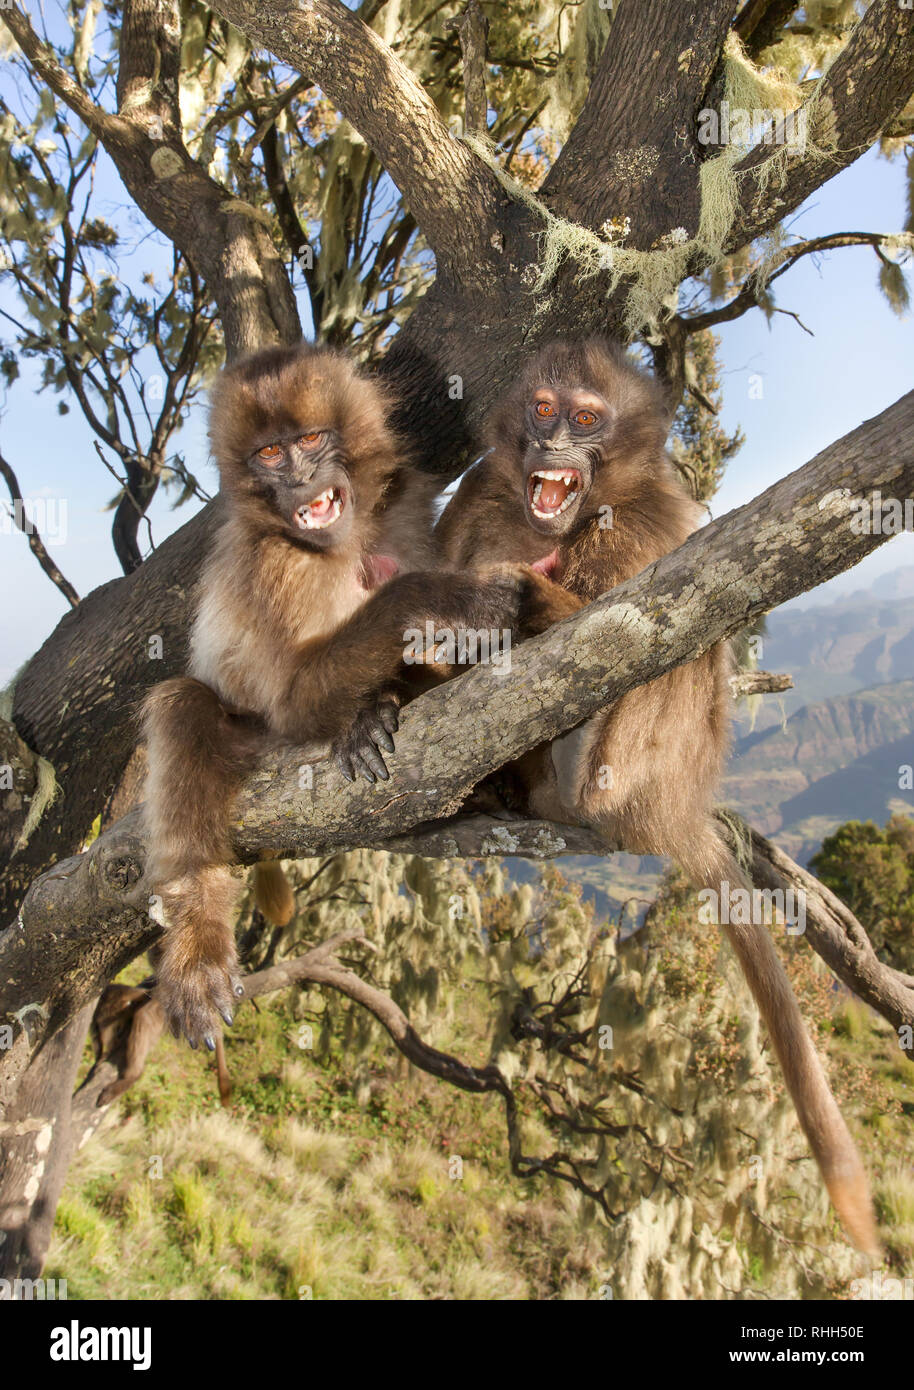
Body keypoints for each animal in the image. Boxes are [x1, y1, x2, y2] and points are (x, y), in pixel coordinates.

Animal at [142, 343, 536, 1055]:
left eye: (308, 440)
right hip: (257, 740)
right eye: (269, 454)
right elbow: (296, 696)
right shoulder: (279, 560)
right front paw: (452, 602)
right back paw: (197, 945)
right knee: (185, 706)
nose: (299, 475)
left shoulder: (404, 500)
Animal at [381, 337, 874, 1256]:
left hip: (648, 761)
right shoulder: (480, 488)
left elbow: (657, 614)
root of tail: (671, 807)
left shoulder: (653, 516)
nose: (551, 446)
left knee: (665, 645)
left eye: (586, 418)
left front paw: (527, 600)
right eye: (542, 409)